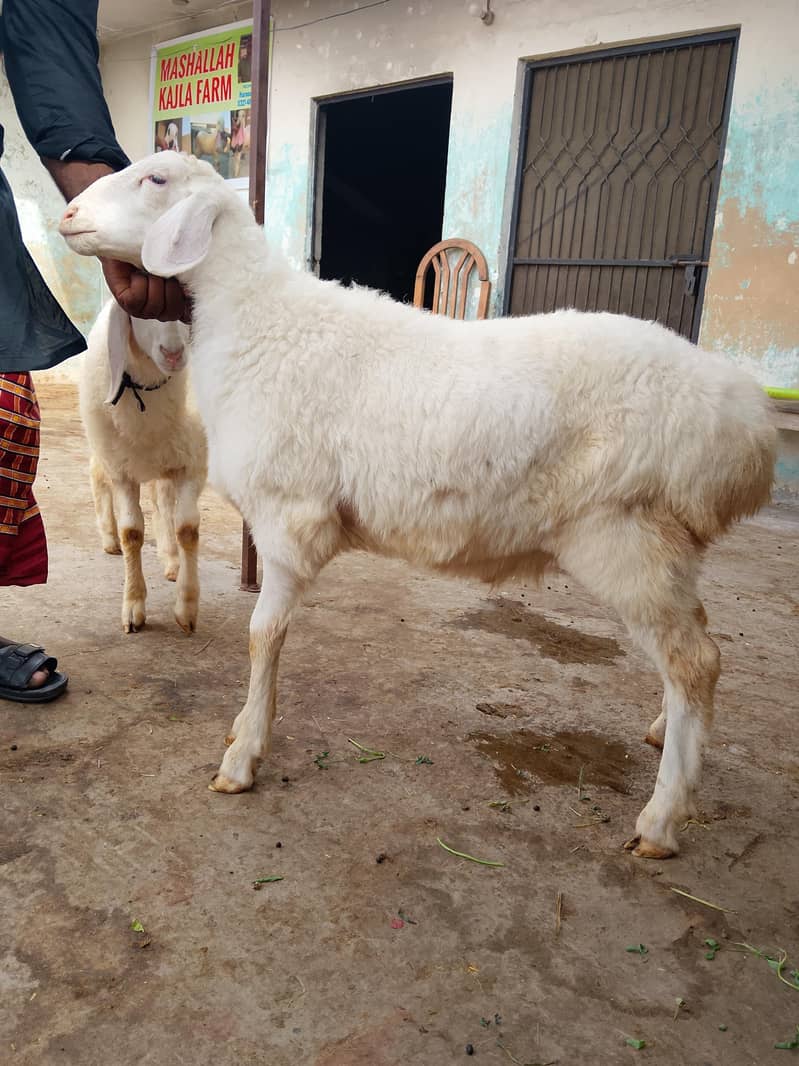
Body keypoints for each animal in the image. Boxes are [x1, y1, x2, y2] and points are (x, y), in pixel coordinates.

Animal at [79, 299, 207, 634]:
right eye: (139, 311)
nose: (174, 353)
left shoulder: (192, 464)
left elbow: (187, 529)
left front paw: (186, 607)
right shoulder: (122, 472)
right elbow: (132, 533)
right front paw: (133, 605)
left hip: (166, 458)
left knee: (162, 502)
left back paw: (172, 561)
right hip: (108, 449)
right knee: (96, 472)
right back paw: (109, 537)